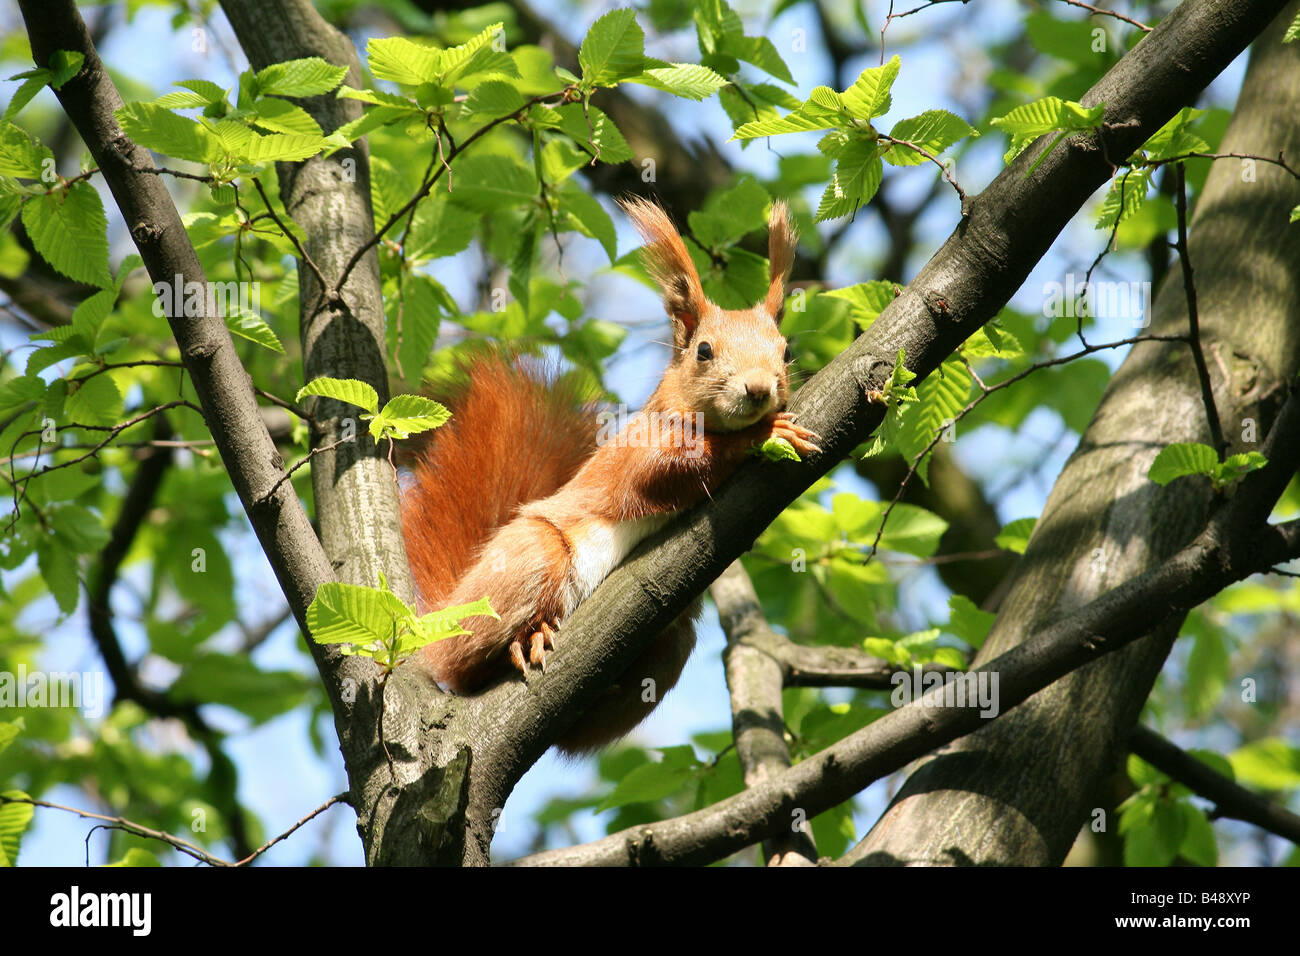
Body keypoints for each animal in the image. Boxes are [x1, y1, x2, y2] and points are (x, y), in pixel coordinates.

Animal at [400, 196, 820, 754]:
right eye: (704, 350)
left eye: (786, 351)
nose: (758, 390)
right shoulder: (630, 457)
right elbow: (665, 470)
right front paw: (762, 434)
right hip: (528, 558)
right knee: (466, 665)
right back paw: (524, 641)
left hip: (673, 643)